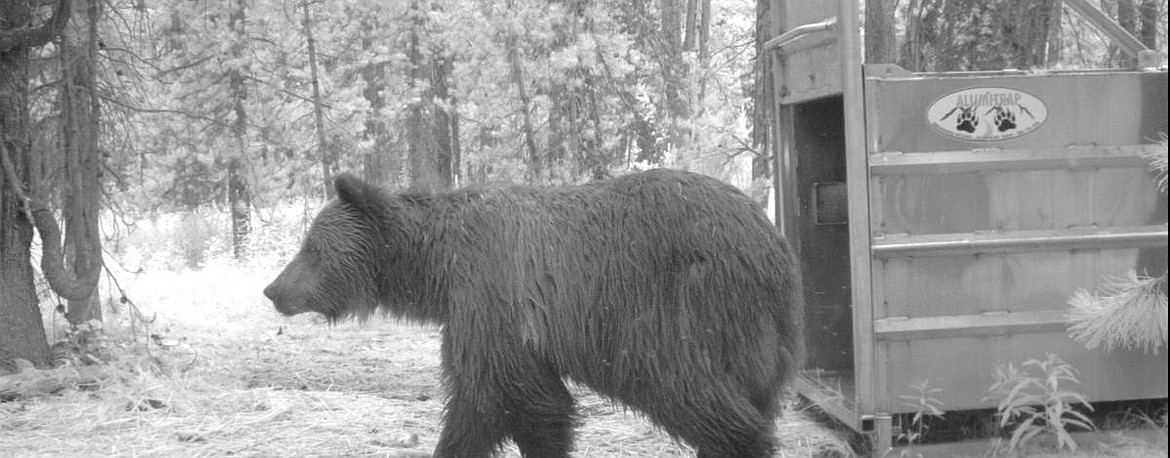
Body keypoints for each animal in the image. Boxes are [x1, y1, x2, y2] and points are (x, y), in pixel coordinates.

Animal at [263, 169, 805, 457]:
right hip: (762, 343)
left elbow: (517, 401)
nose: (272, 289)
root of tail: (772, 239)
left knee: (699, 398)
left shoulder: (492, 301)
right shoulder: (486, 320)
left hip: (679, 315)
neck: (439, 266)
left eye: (311, 247)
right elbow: (488, 405)